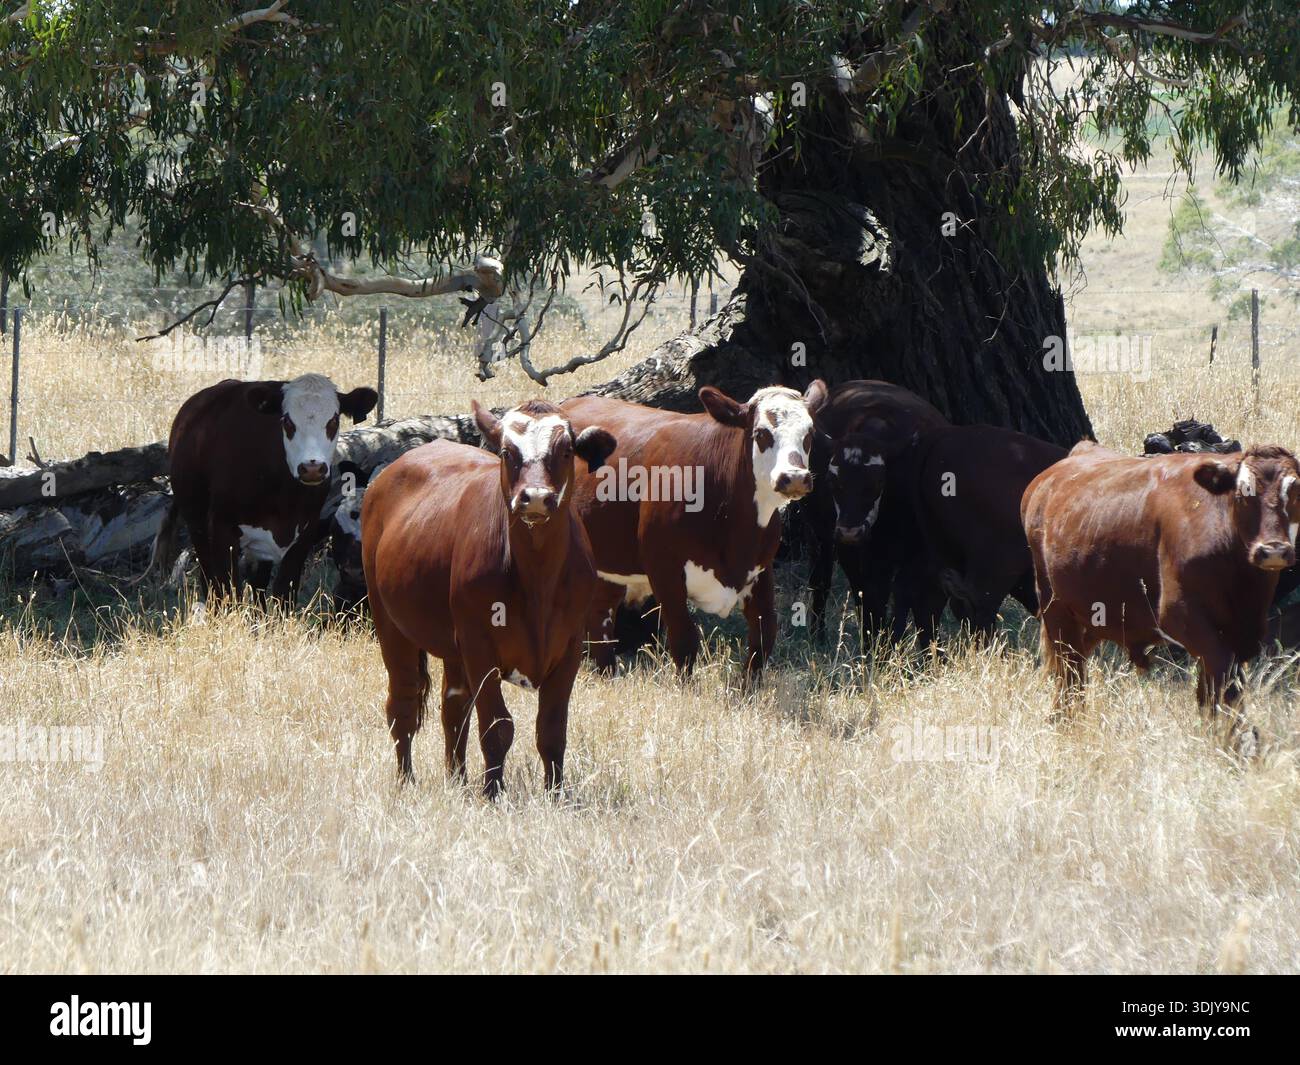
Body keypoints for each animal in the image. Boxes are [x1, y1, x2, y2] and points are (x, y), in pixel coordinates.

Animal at [157, 374, 378, 601]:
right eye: (287, 421)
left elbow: (283, 593)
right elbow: (228, 591)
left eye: (333, 420)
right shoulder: (221, 529)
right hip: (197, 522)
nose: (312, 468)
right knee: (209, 577)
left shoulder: (303, 536)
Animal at [361, 400, 617, 796]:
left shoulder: (571, 647)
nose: (536, 498)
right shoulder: (479, 646)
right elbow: (497, 726)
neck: (538, 579)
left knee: (452, 706)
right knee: (402, 704)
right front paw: (493, 793)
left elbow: (552, 728)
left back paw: (457, 778)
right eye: (507, 452)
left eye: (565, 451)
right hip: (390, 624)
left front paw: (556, 793)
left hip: (452, 648)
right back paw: (407, 781)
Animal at [562, 381, 828, 680]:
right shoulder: (664, 570)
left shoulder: (760, 567)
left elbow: (764, 635)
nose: (794, 477)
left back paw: (609, 674)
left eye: (809, 434)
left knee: (600, 615)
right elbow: (685, 640)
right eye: (761, 433)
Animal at [804, 380, 949, 642]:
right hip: (819, 535)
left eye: (877, 482)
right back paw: (818, 636)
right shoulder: (853, 549)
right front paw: (875, 642)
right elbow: (870, 594)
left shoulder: (920, 552)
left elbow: (909, 596)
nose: (850, 531)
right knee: (821, 580)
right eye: (833, 481)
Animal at [1021, 441, 1300, 736]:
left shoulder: (1243, 630)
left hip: (1093, 614)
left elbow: (1216, 689)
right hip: (1054, 605)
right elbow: (1223, 677)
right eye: (1242, 493)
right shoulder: (1180, 616)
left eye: (1295, 490)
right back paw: (1065, 722)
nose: (1273, 550)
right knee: (1069, 669)